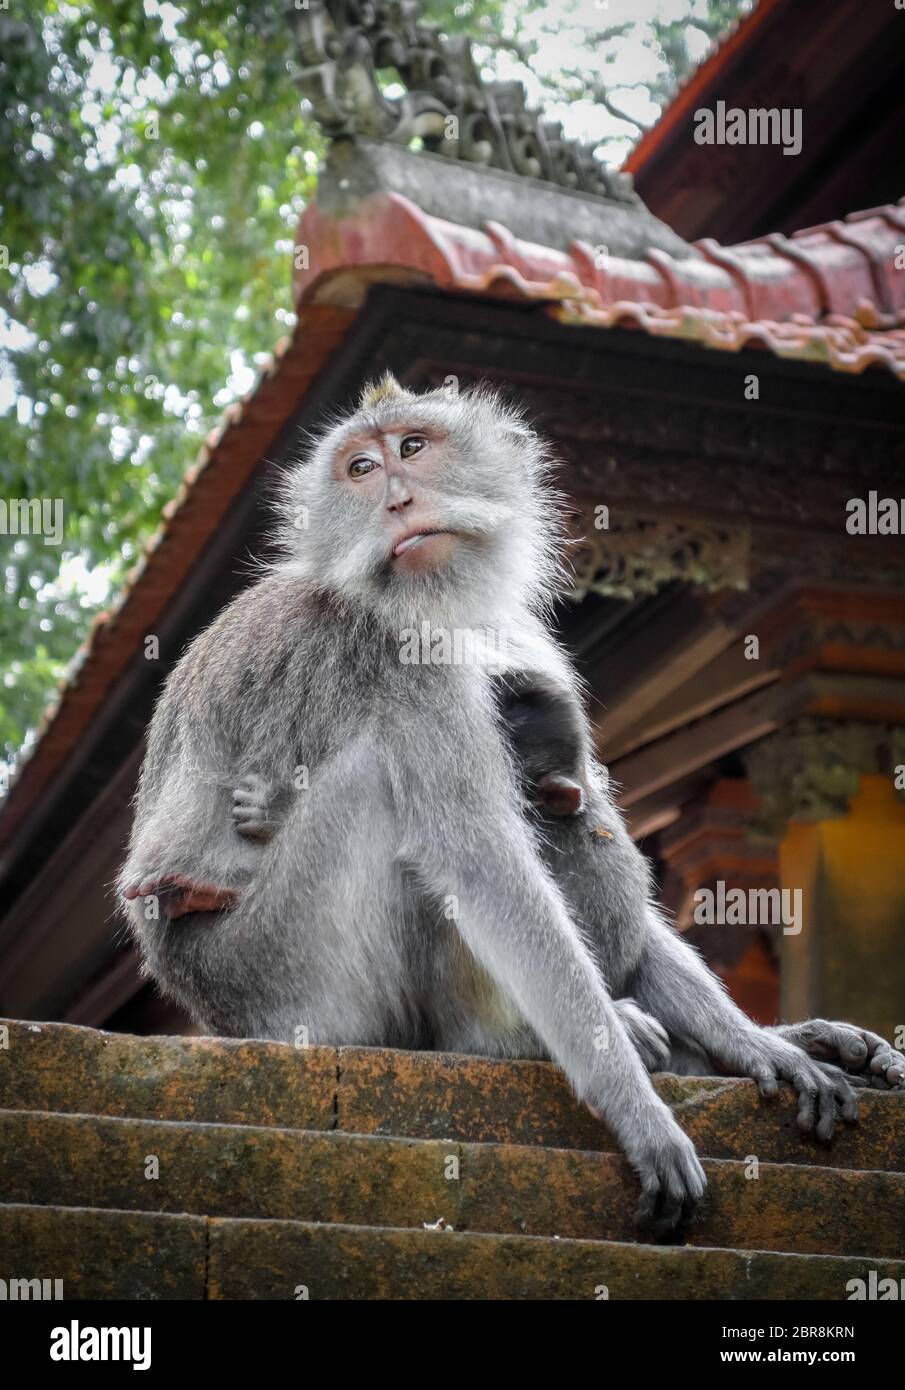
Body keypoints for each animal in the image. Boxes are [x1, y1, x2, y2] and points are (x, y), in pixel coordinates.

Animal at [120, 374, 904, 1239]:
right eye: (360, 468)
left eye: (413, 448)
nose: (395, 498)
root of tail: (206, 1008)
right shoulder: (403, 664)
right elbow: (484, 866)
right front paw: (637, 1111)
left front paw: (760, 1044)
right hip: (284, 981)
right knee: (387, 797)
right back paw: (497, 1042)